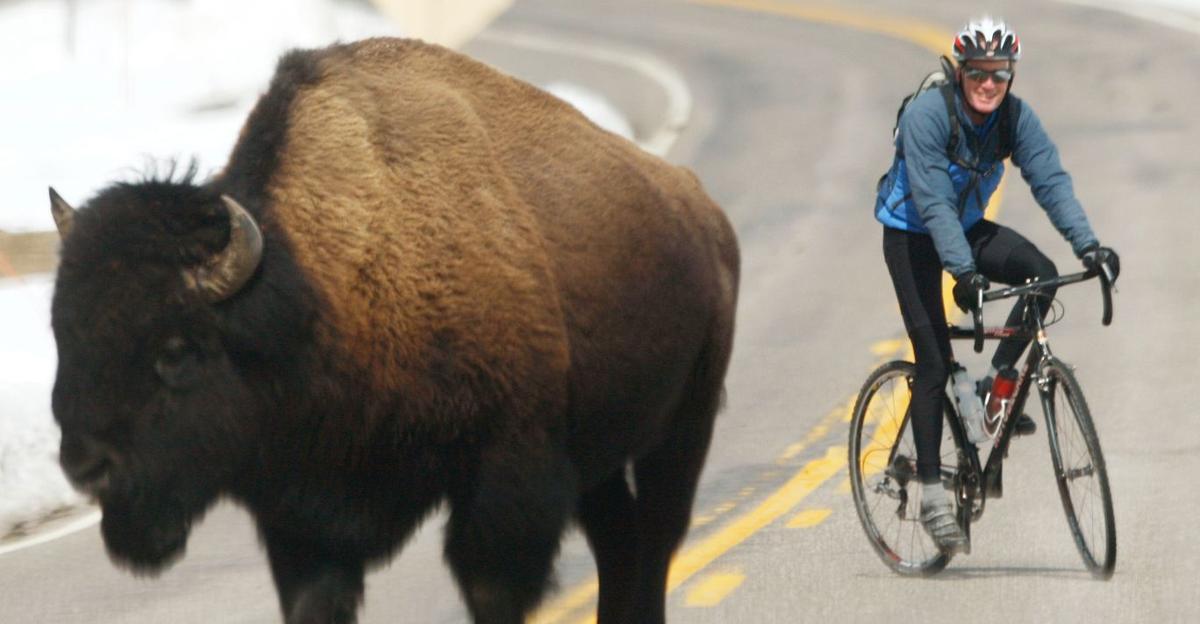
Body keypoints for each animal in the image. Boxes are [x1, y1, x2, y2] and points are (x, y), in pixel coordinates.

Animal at [49, 38, 738, 624]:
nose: (84, 465)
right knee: (622, 544)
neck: (318, 293)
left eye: (177, 349)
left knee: (658, 536)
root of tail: (701, 208)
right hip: (601, 456)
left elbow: (492, 588)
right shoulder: (303, 521)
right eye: (63, 335)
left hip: (685, 425)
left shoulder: (506, 481)